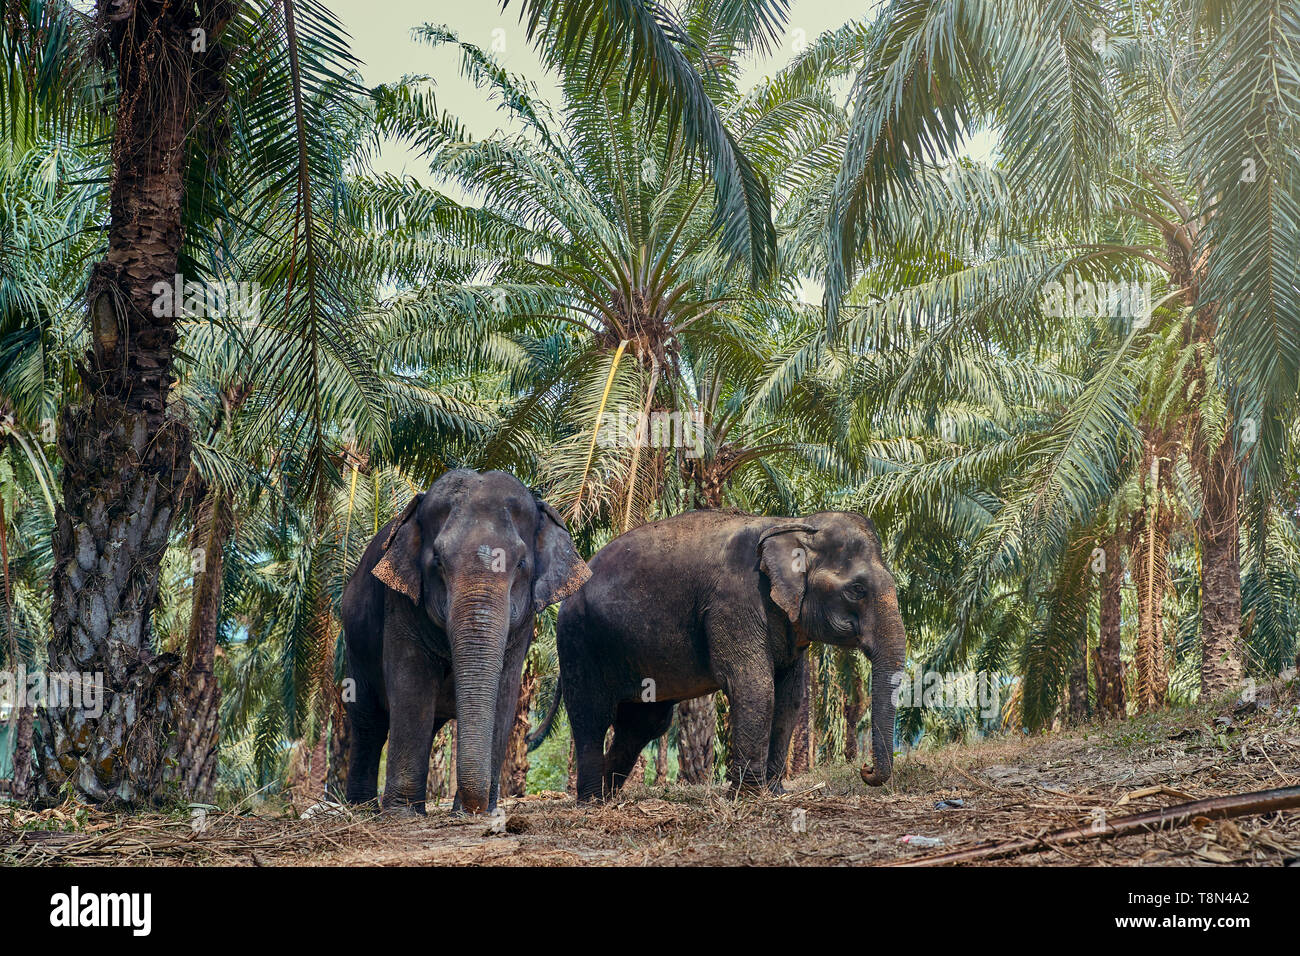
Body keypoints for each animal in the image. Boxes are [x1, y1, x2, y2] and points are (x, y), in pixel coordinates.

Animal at [341, 469, 590, 814]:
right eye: (438, 562)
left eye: (521, 564)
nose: (474, 807)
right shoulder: (400, 602)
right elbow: (411, 682)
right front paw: (402, 814)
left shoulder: (523, 624)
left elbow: (505, 690)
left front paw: (477, 812)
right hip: (354, 646)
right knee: (368, 722)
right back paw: (362, 809)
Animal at [528, 509, 907, 802]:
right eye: (856, 589)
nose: (866, 769)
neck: (793, 523)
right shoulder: (734, 603)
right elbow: (755, 686)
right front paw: (748, 796)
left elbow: (789, 696)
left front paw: (775, 792)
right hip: (579, 640)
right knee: (592, 716)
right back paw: (591, 800)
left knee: (642, 724)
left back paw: (608, 795)